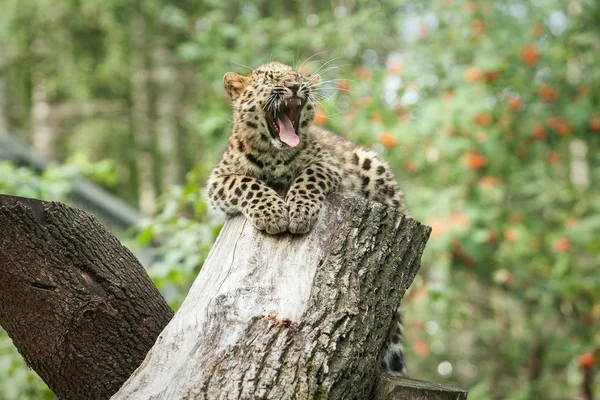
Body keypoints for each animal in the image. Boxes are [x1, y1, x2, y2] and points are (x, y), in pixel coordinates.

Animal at [206, 61, 408, 376]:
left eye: (298, 77)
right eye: (271, 78)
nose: (293, 86)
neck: (274, 155)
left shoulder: (329, 164)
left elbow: (309, 175)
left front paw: (298, 212)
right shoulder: (218, 181)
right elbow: (247, 183)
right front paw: (274, 213)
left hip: (373, 165)